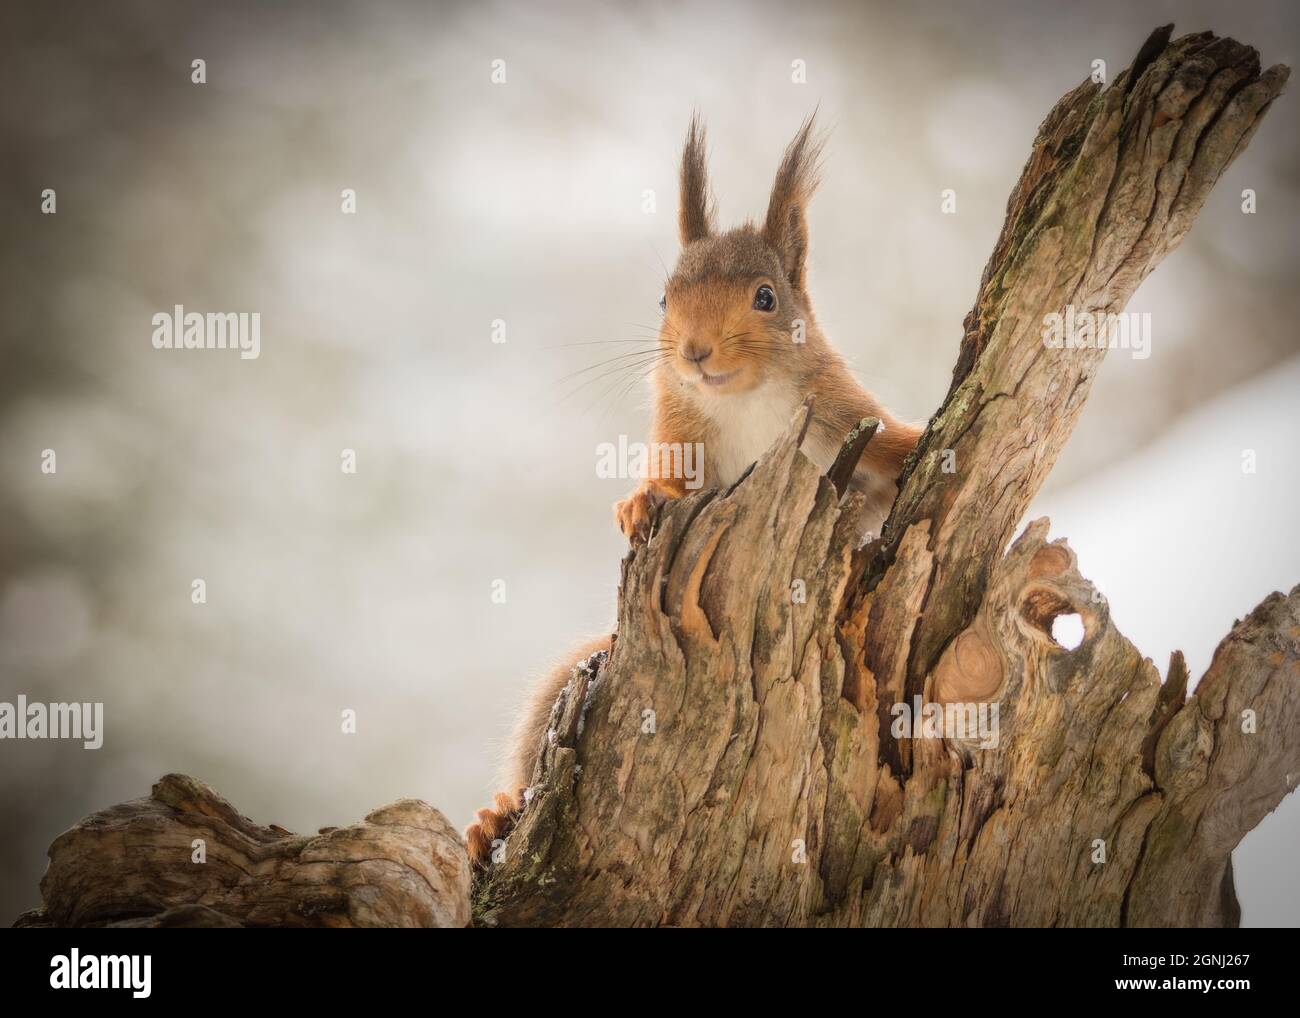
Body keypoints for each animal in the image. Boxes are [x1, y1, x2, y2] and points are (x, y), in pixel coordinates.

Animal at [464, 114, 922, 868]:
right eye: (664, 300)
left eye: (766, 298)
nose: (696, 351)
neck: (747, 401)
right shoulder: (678, 427)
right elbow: (668, 478)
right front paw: (640, 502)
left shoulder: (844, 412)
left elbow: (890, 455)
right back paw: (494, 818)